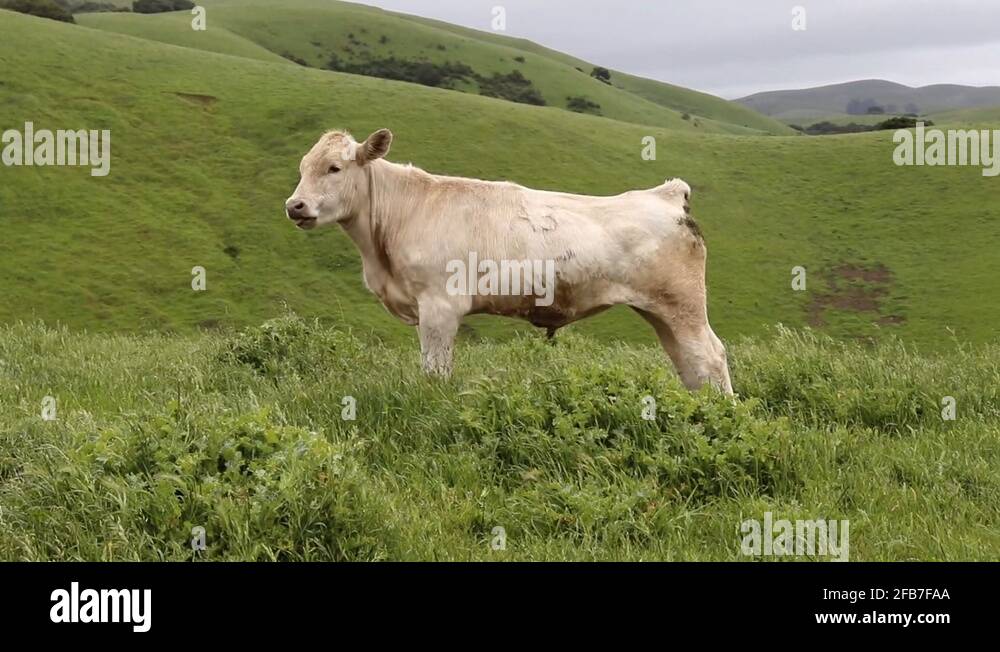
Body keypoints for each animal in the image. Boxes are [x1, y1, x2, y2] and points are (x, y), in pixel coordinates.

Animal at [286, 129, 733, 395]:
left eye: (334, 167)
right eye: (302, 168)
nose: (295, 205)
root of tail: (667, 193)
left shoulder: (439, 305)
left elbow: (435, 370)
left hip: (682, 305)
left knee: (710, 355)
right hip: (659, 310)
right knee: (687, 361)